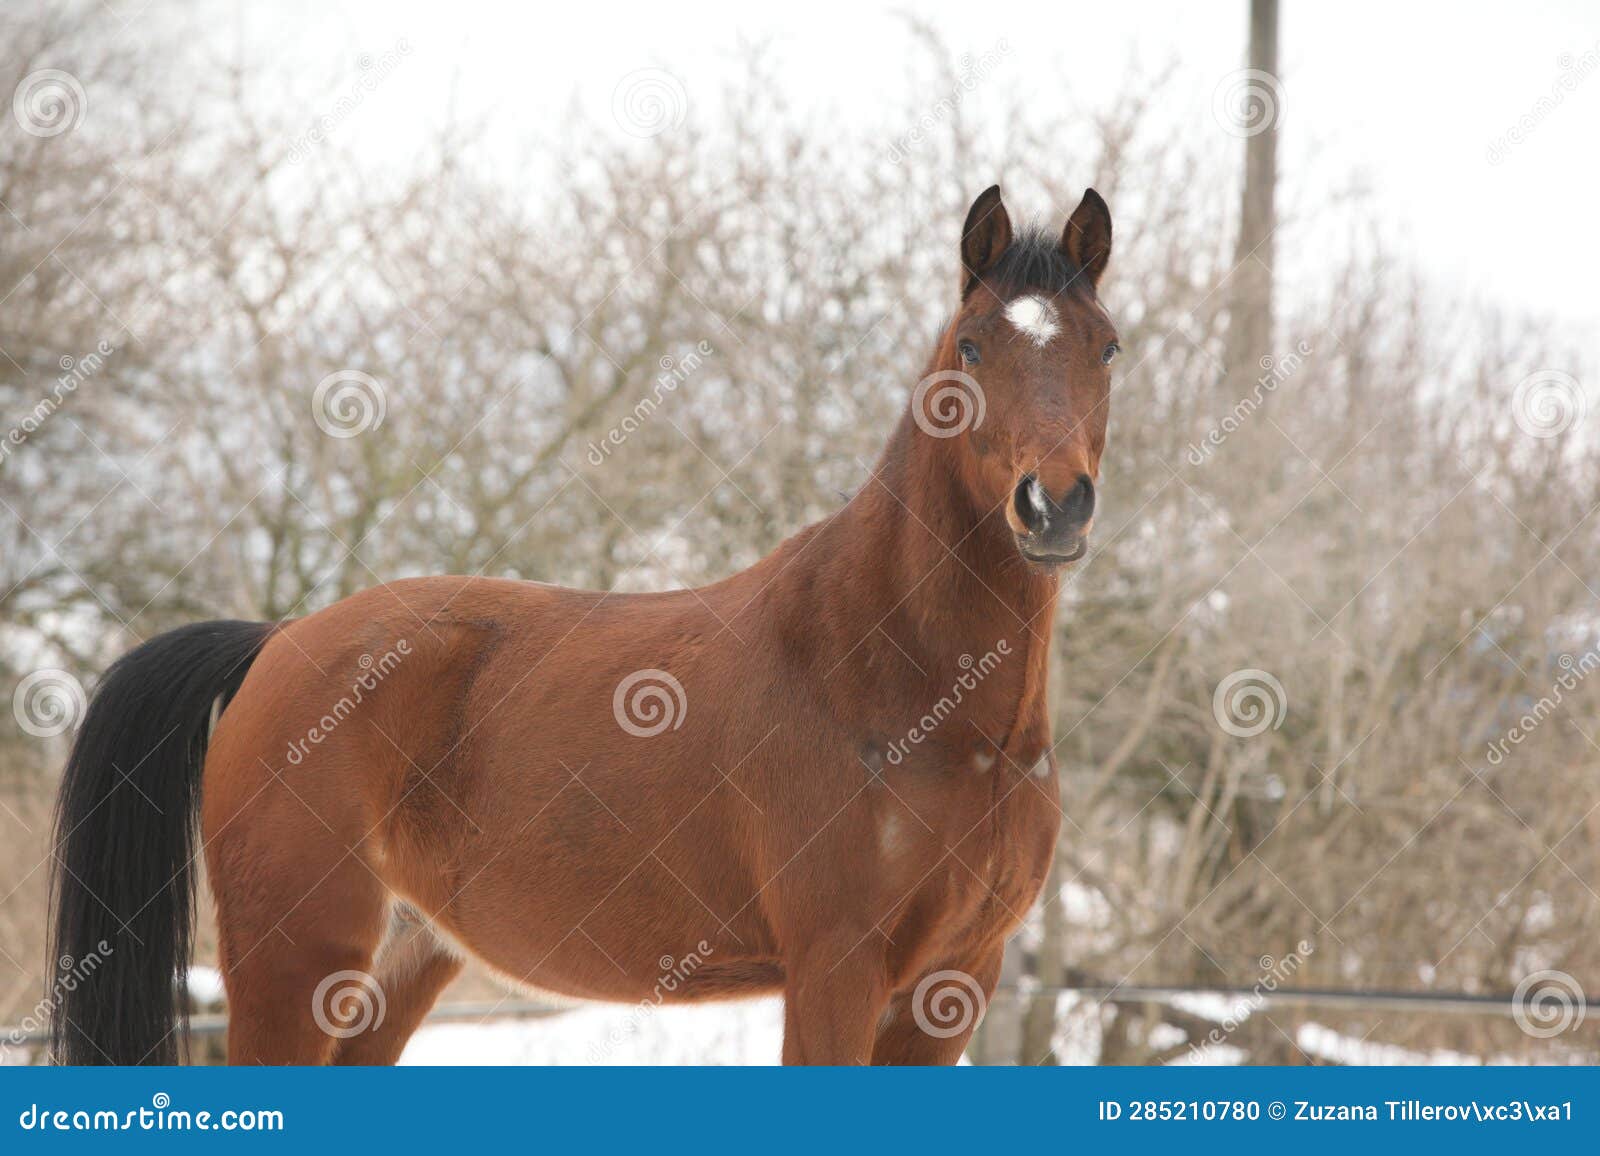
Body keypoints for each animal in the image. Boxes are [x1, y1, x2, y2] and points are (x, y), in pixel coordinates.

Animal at [49, 184, 1116, 1065]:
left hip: (399, 962)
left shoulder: (955, 982)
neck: (908, 690)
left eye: (1105, 347)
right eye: (972, 347)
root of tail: (277, 643)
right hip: (294, 967)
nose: (1053, 506)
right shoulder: (836, 972)